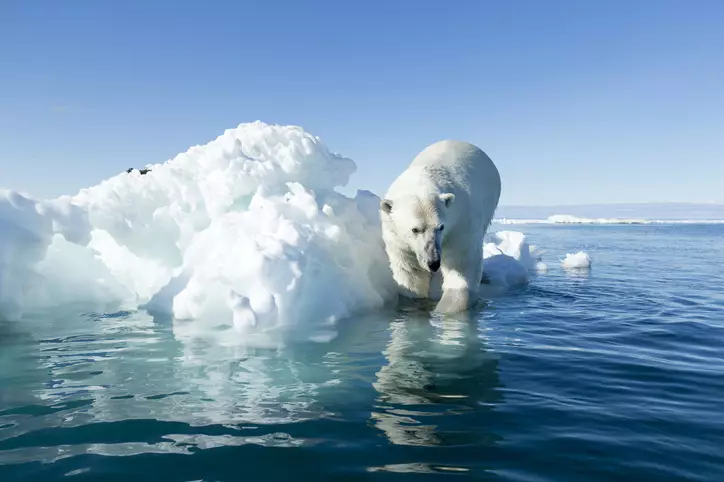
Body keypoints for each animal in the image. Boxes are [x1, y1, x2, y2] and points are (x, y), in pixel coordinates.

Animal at [378, 139, 504, 312]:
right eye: (415, 229)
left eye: (440, 227)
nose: (433, 262)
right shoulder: (396, 238)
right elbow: (410, 275)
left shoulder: (459, 225)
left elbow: (460, 269)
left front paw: (447, 308)